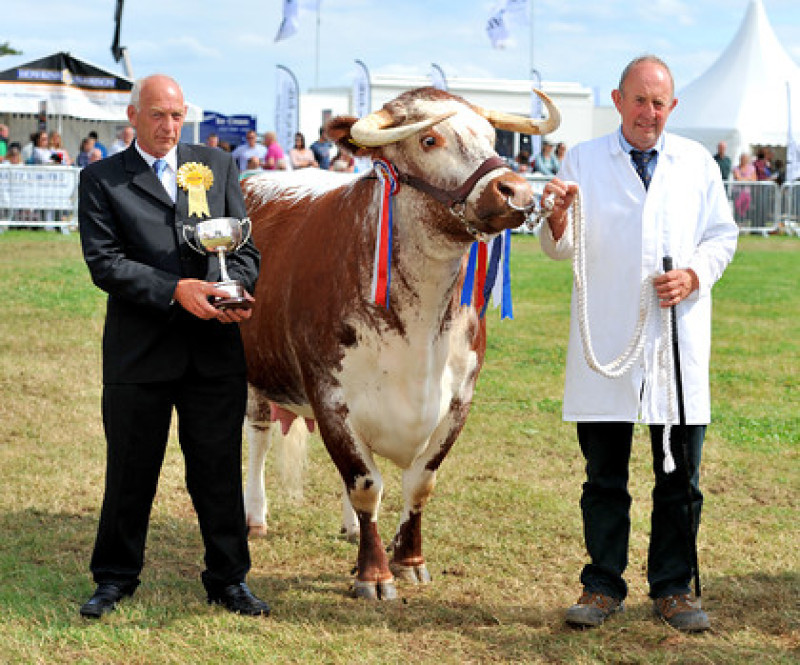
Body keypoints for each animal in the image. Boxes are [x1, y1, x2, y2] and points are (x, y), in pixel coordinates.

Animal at [239, 87, 560, 600]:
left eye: (492, 137)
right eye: (429, 138)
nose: (518, 191)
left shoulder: (459, 399)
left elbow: (419, 483)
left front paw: (408, 559)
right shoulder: (330, 395)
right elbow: (365, 483)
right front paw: (374, 574)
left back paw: (351, 527)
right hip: (254, 373)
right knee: (259, 436)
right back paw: (255, 516)